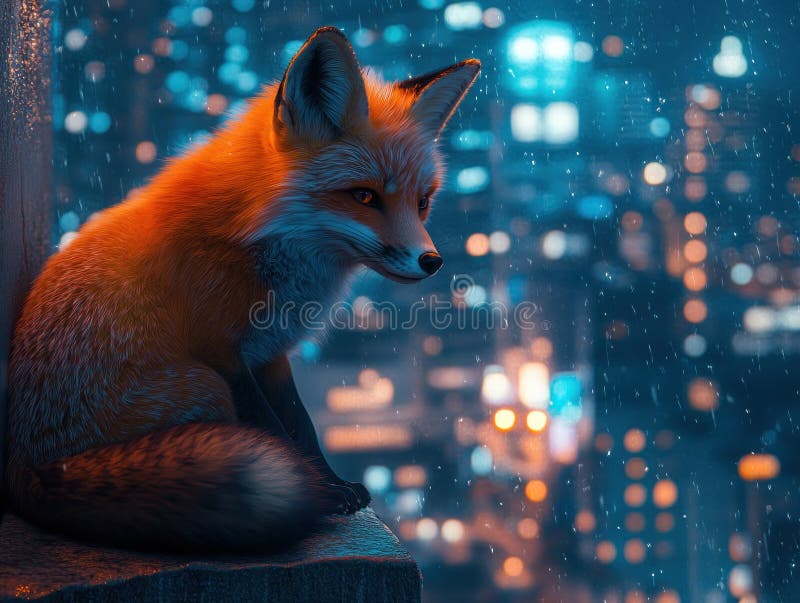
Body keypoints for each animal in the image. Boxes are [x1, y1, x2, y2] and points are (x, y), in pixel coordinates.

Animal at [5, 27, 480, 551]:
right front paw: (320, 493)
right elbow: (273, 428)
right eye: (364, 196)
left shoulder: (270, 351)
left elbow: (302, 425)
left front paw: (331, 484)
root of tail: (26, 468)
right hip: (202, 384)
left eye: (423, 202)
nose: (431, 262)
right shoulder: (220, 352)